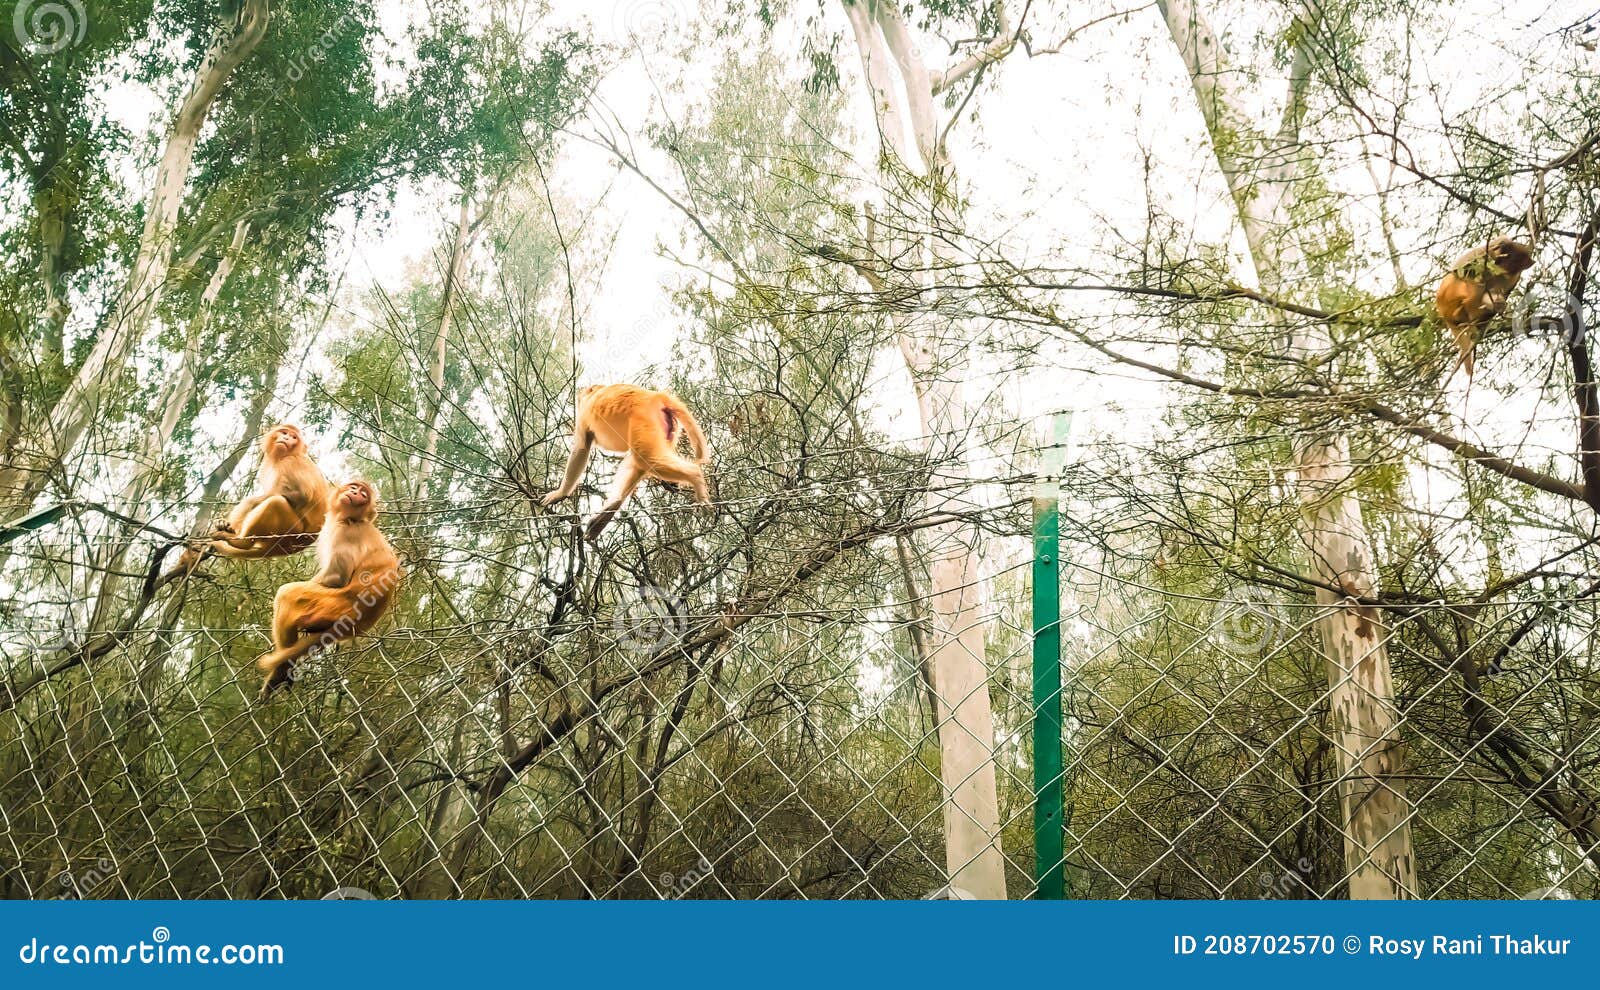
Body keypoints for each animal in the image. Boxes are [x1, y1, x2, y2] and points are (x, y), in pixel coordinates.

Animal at [179, 424, 329, 570]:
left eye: (294, 437)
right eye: (285, 433)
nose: (287, 438)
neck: (284, 456)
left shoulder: (291, 462)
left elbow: (302, 496)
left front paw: (250, 502)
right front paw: (223, 523)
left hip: (293, 533)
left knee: (275, 502)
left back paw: (241, 542)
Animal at [256, 480, 401, 699]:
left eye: (363, 495)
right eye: (354, 487)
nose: (355, 493)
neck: (350, 519)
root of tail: (359, 624)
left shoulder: (346, 533)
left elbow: (337, 577)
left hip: (331, 606)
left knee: (288, 594)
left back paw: (282, 668)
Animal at [541, 384, 711, 540]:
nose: (579, 399)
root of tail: (656, 397)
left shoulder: (584, 414)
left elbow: (581, 449)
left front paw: (560, 493)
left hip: (643, 420)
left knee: (643, 458)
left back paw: (695, 476)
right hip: (668, 429)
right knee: (637, 462)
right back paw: (611, 507)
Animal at [1435, 236, 1535, 378]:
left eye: (1512, 264)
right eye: (1504, 261)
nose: (1497, 265)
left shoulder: (1510, 278)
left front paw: (1499, 305)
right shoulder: (1484, 254)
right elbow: (1460, 266)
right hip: (1449, 293)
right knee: (1469, 280)